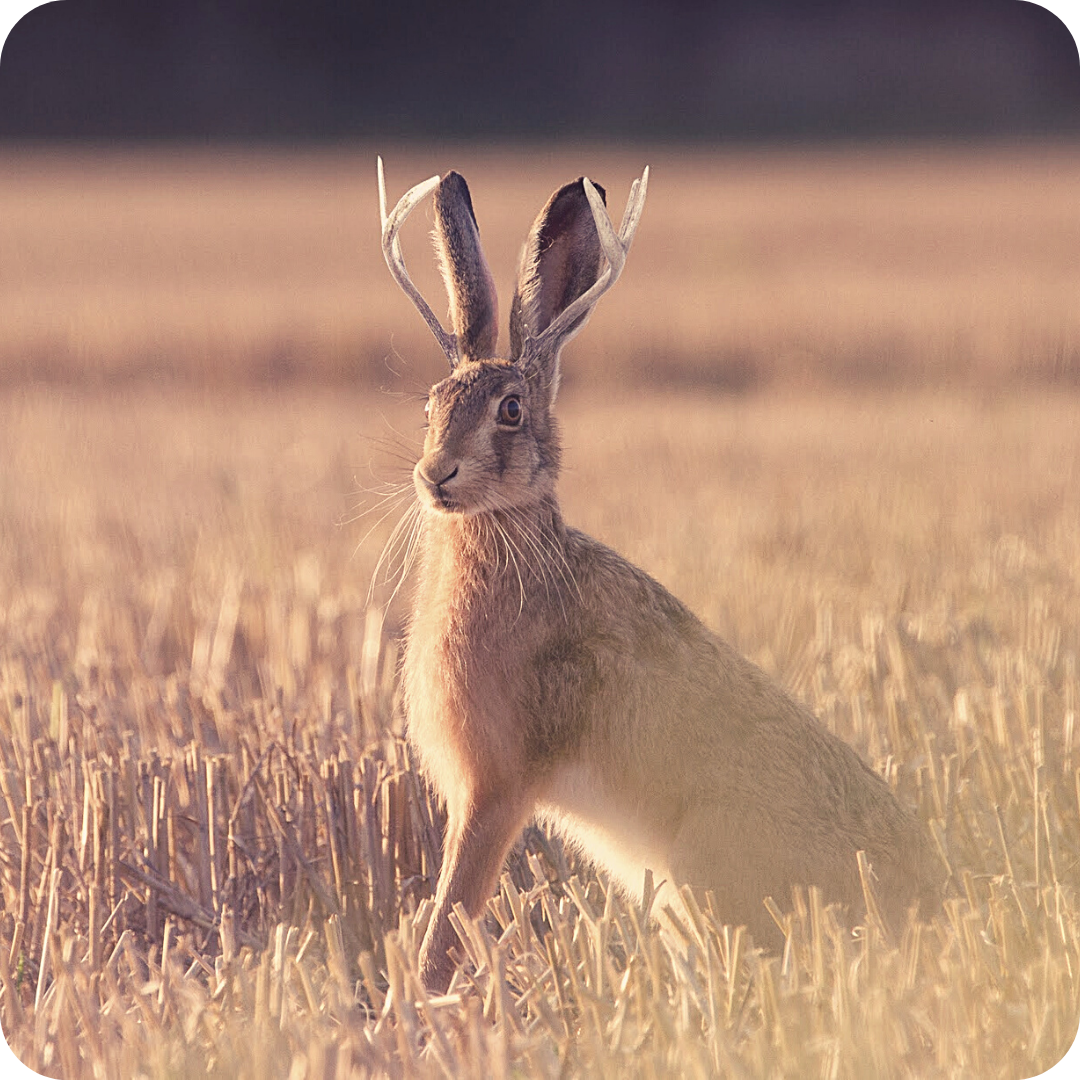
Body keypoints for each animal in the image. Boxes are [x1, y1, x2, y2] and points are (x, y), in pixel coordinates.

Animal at [376, 158, 945, 993]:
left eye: (510, 411)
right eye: (430, 408)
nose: (434, 475)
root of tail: (927, 895)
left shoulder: (499, 785)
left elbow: (452, 916)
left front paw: (416, 997)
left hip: (704, 863)